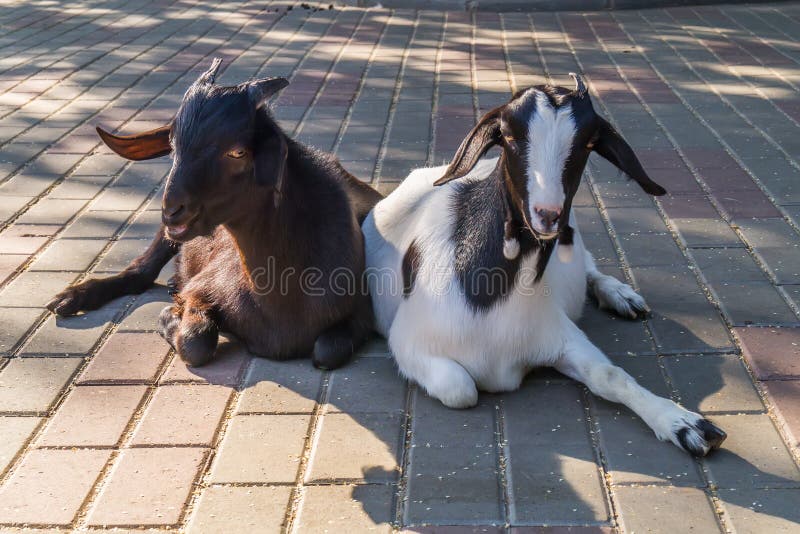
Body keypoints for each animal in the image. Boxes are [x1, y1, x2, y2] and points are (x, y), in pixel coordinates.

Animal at [48, 59, 383, 370]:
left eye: (238, 152)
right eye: (173, 146)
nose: (171, 210)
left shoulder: (361, 314)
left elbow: (327, 351)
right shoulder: (202, 288)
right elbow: (196, 342)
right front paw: (170, 316)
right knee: (140, 272)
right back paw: (72, 297)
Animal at [362, 74, 727, 456]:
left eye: (589, 142)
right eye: (508, 136)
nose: (548, 214)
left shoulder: (557, 332)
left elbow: (608, 376)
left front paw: (685, 424)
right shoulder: (408, 343)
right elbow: (460, 388)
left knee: (589, 266)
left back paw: (620, 295)